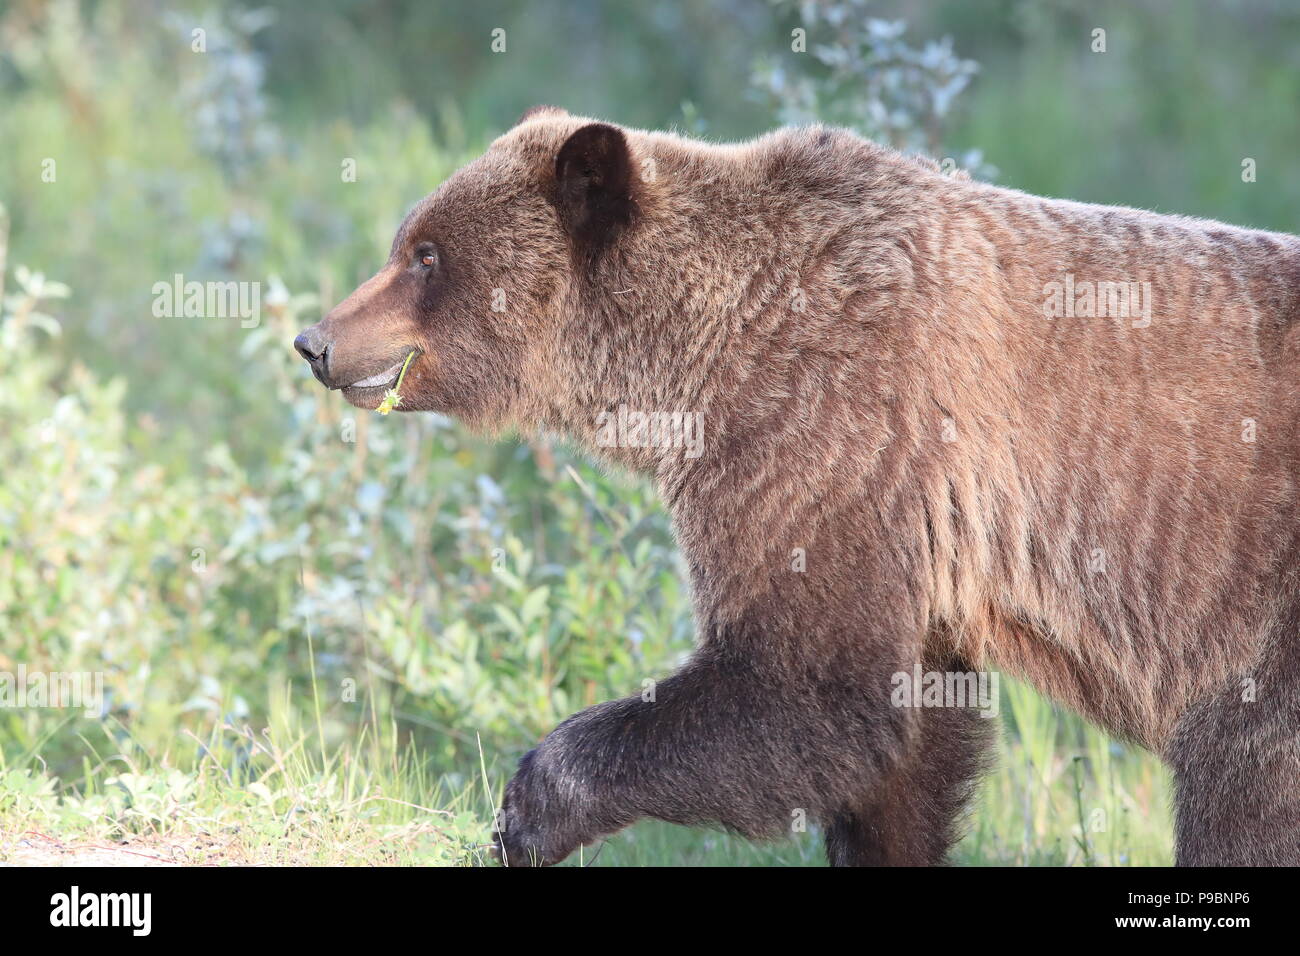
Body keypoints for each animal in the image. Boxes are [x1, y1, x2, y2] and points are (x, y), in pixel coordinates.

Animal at [295, 106, 1300, 866]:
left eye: (427, 255)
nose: (315, 340)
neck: (695, 362)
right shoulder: (914, 531)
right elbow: (905, 740)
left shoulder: (832, 432)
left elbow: (806, 687)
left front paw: (527, 810)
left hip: (1262, 618)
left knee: (1240, 788)